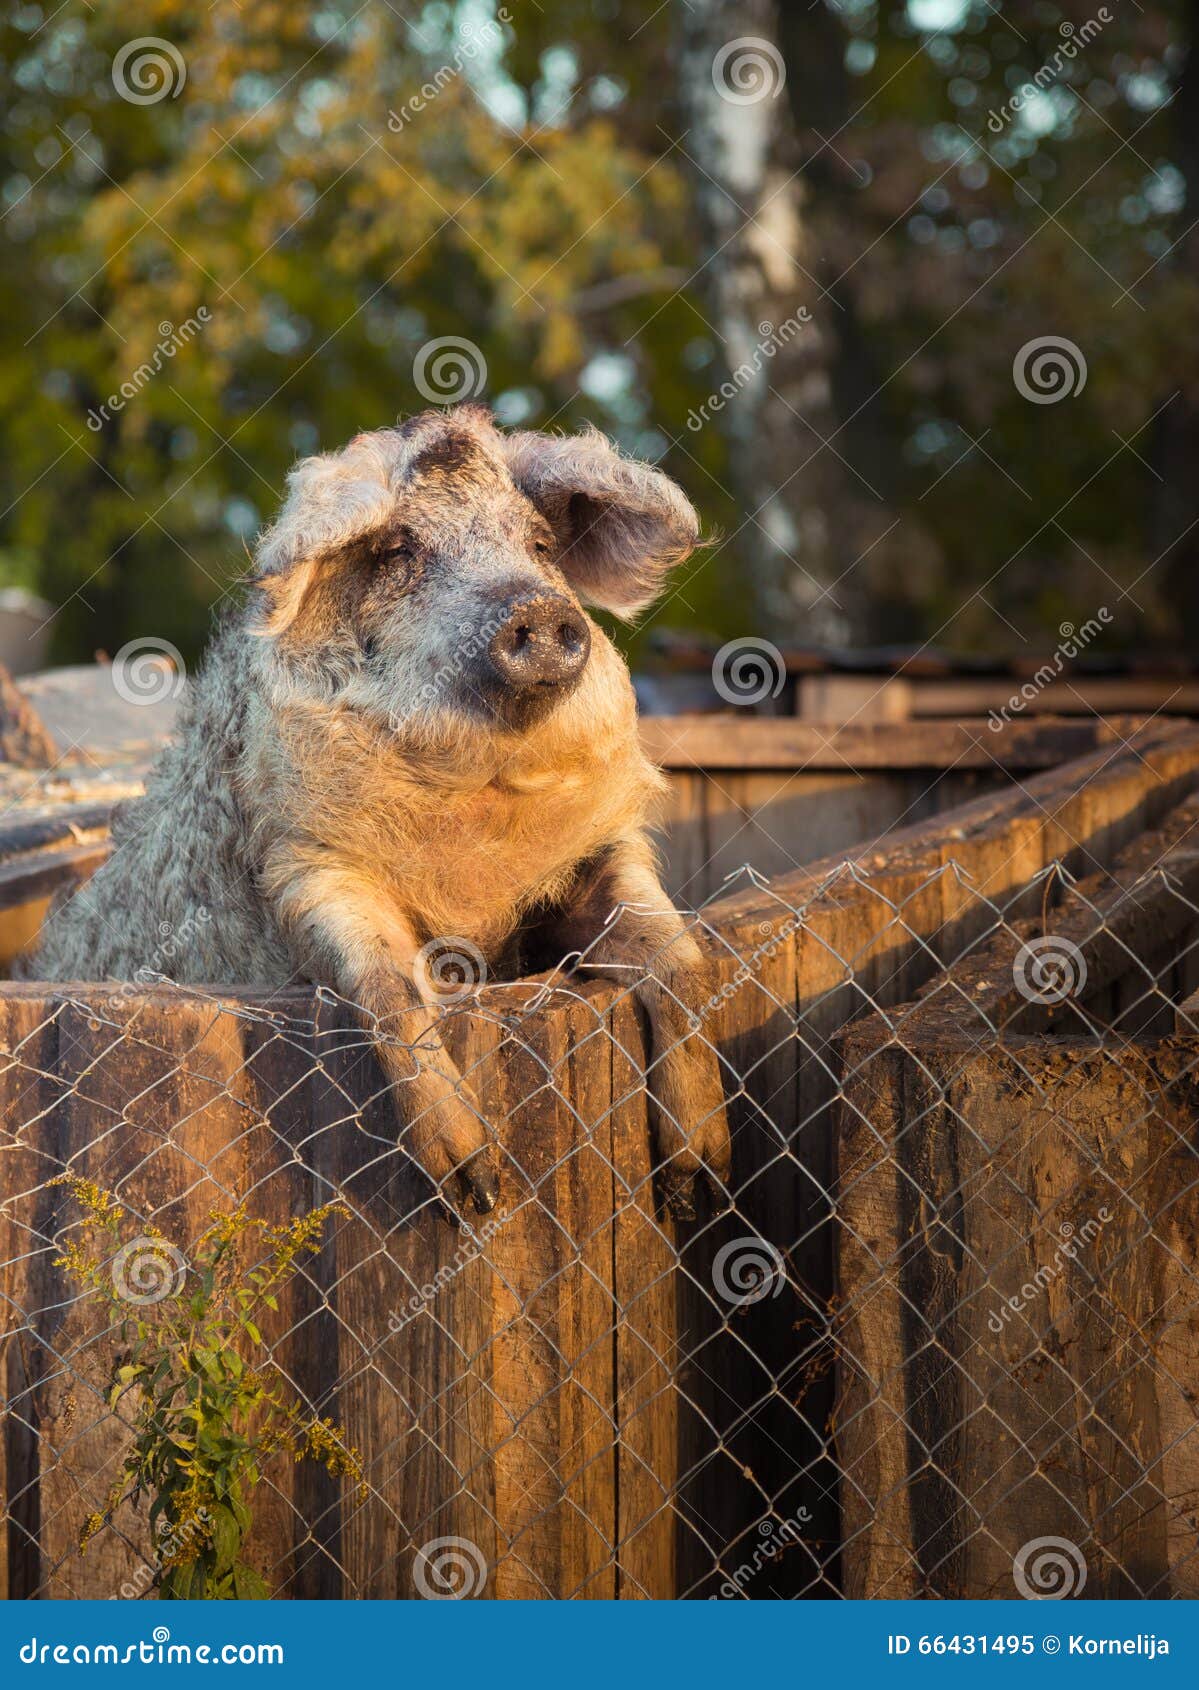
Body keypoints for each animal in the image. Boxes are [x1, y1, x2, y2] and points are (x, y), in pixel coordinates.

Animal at [31, 406, 731, 1217]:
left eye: (538, 544)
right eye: (400, 550)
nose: (537, 606)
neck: (475, 849)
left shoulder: (597, 851)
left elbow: (680, 957)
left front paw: (698, 1187)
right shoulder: (305, 862)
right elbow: (388, 986)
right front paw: (477, 1189)